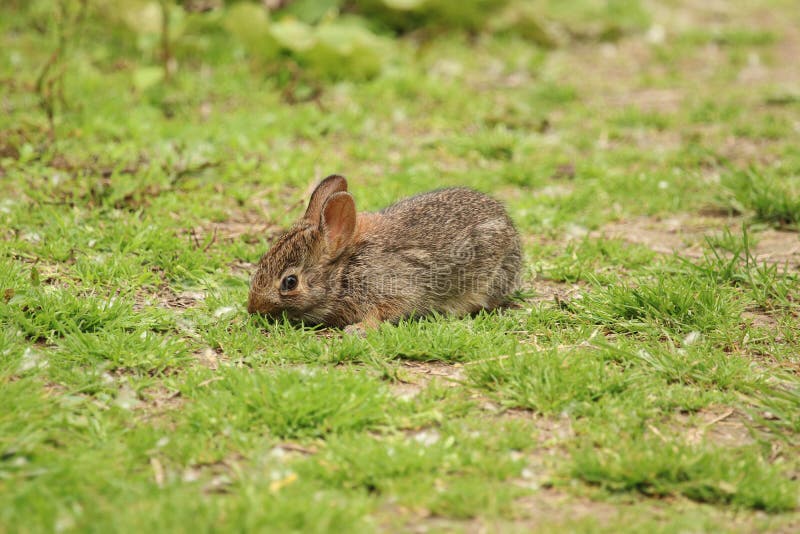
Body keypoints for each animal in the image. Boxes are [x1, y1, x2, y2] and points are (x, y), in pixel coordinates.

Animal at [247, 174, 522, 332]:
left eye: (290, 282)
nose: (253, 309)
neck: (344, 271)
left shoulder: (395, 289)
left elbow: (384, 312)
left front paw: (358, 330)